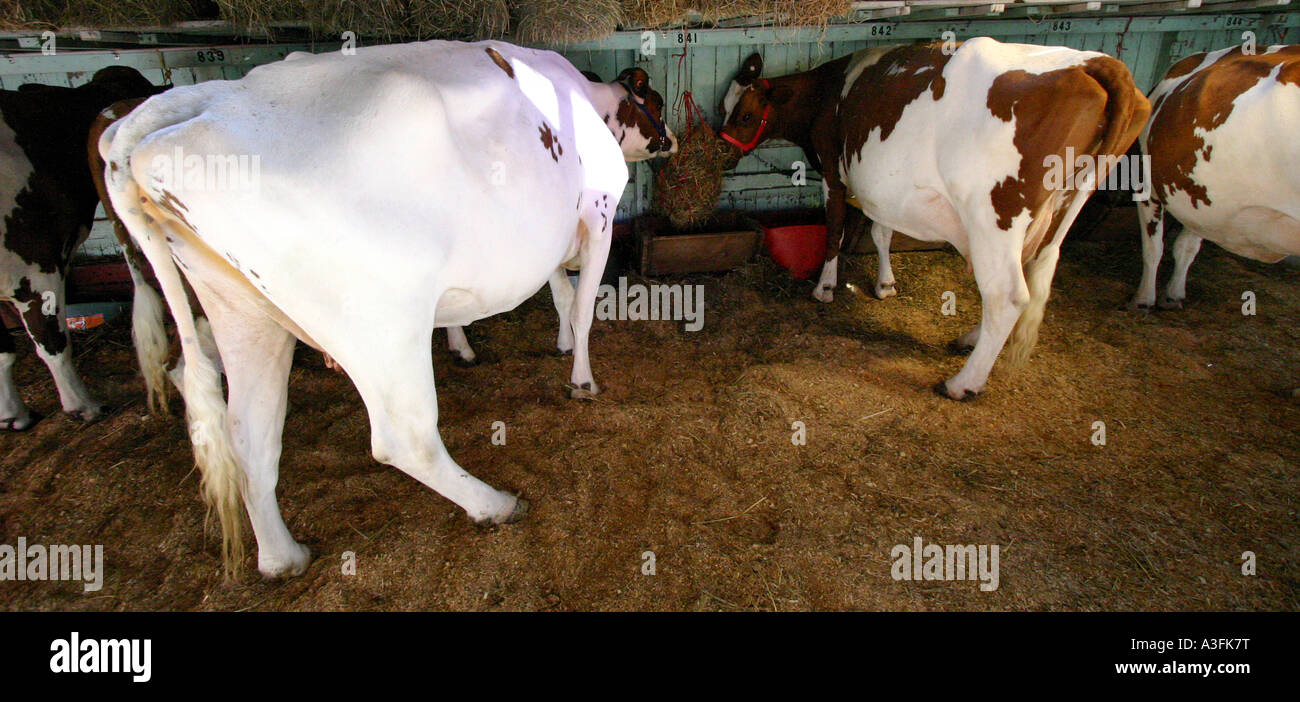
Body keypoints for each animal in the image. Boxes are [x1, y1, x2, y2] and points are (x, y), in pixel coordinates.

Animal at [100, 40, 666, 578]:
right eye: (655, 102)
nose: (671, 139)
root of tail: (182, 107)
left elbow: (559, 292)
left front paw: (548, 345)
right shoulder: (599, 215)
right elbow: (583, 306)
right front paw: (583, 378)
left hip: (238, 307)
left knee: (248, 434)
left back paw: (283, 557)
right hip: (382, 322)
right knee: (405, 438)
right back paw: (494, 503)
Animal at [719, 38, 1150, 399]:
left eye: (744, 115)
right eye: (724, 107)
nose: (720, 154)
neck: (829, 90)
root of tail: (1092, 63)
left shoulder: (831, 170)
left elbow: (836, 229)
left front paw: (824, 287)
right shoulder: (887, 188)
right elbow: (881, 232)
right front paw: (885, 284)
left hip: (995, 215)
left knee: (1008, 294)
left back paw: (962, 383)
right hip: (1063, 208)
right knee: (1025, 275)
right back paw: (971, 339)